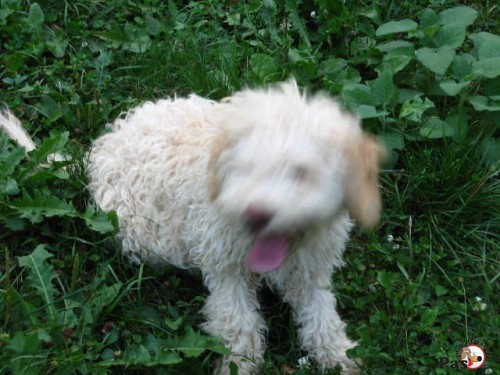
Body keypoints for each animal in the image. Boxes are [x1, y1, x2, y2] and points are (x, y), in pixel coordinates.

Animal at [0, 81, 384, 374]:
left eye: (301, 172)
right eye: (245, 168)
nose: (256, 215)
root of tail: (100, 149)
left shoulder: (310, 269)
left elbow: (322, 316)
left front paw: (340, 357)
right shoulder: (225, 267)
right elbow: (238, 323)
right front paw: (237, 366)